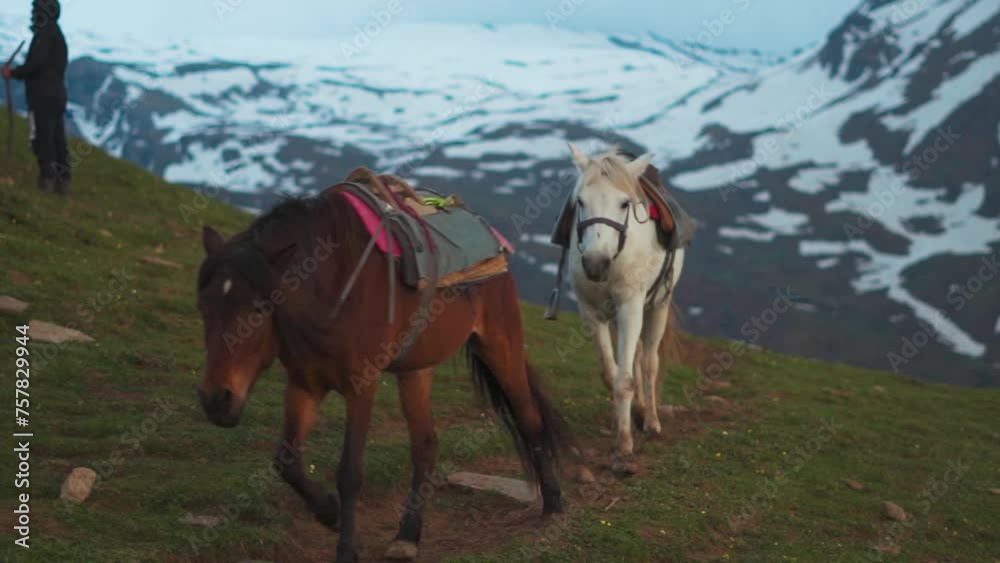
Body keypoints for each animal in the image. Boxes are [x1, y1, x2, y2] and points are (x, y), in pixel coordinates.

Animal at [194, 185, 569, 562]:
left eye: (259, 309)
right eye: (203, 308)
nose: (216, 400)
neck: (331, 288)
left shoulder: (362, 385)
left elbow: (349, 472)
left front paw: (347, 548)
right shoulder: (304, 384)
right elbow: (287, 463)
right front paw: (329, 513)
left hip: (499, 344)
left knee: (529, 419)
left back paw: (553, 504)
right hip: (416, 371)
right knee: (425, 447)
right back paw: (407, 535)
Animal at [565, 144, 686, 457]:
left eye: (624, 204)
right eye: (580, 201)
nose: (595, 264)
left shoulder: (631, 307)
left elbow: (626, 378)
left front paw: (624, 441)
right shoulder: (591, 311)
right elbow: (612, 374)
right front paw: (624, 420)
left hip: (658, 307)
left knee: (650, 362)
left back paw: (651, 421)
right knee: (638, 356)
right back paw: (640, 410)